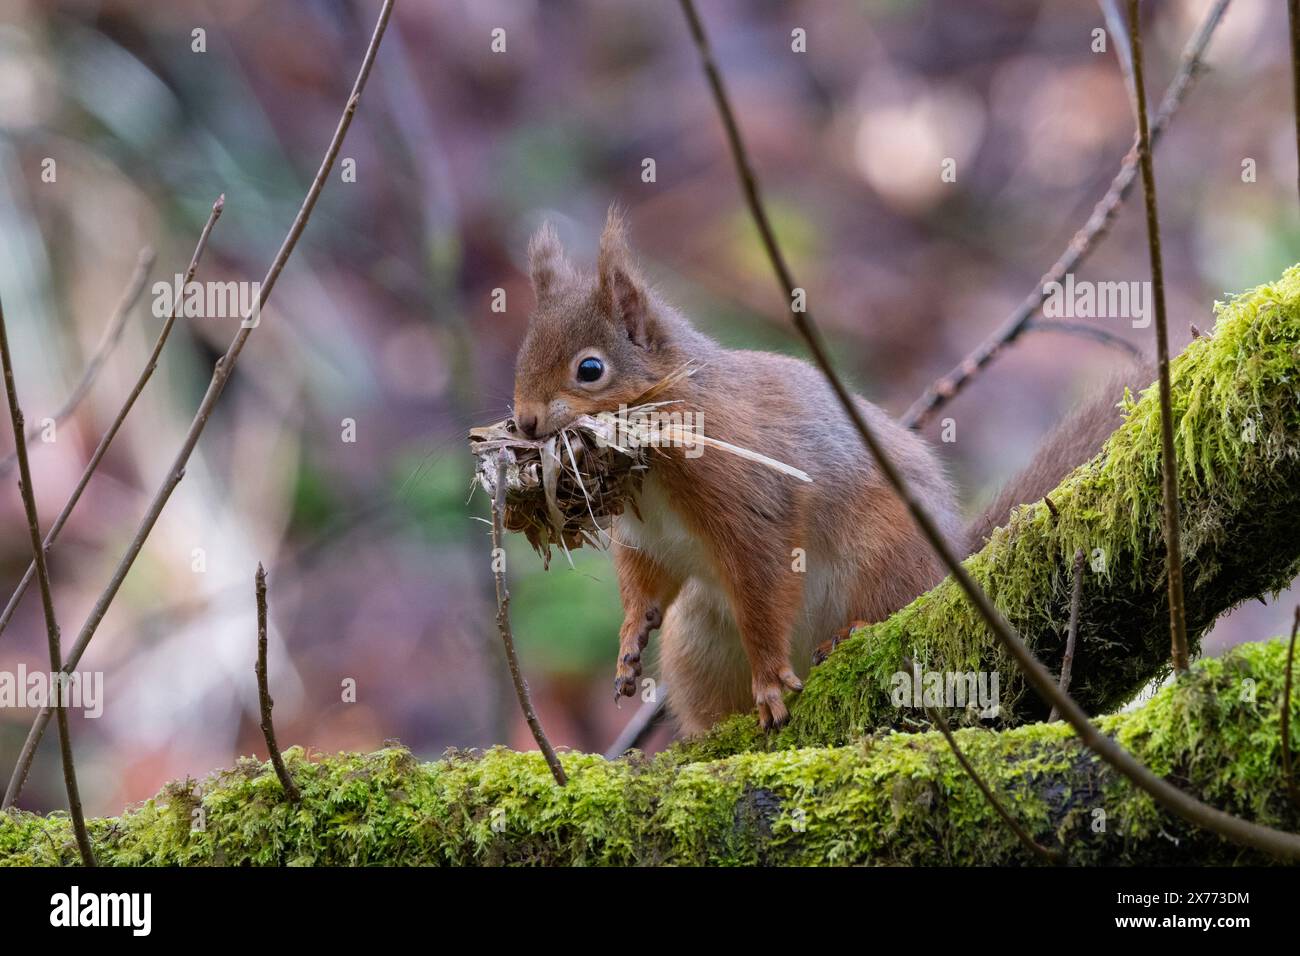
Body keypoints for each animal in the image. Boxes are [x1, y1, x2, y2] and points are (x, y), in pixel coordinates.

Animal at [512, 209, 1139, 734]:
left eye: (590, 369)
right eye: (522, 355)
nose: (525, 421)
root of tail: (955, 559)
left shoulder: (753, 499)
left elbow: (764, 587)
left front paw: (769, 680)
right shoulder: (646, 533)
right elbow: (644, 580)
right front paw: (630, 639)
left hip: (884, 549)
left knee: (890, 601)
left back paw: (848, 634)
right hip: (697, 646)